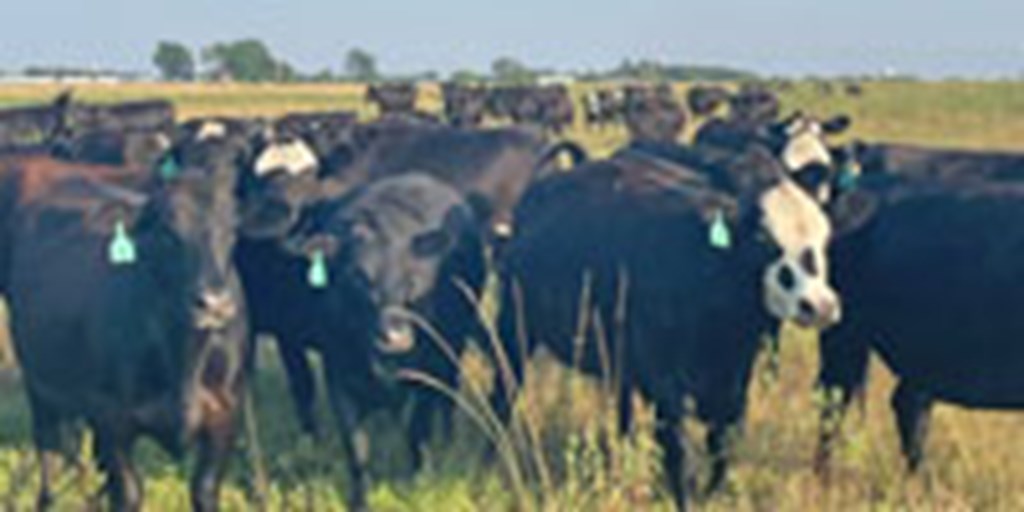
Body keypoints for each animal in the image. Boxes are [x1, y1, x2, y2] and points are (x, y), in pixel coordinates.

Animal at [7, 132, 253, 511]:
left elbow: (205, 490)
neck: (184, 357)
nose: (214, 304)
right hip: (38, 380)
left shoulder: (225, 417)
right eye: (168, 232)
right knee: (49, 446)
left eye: (233, 231)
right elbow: (128, 492)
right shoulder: (112, 419)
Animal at [236, 173, 486, 511]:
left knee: (448, 395)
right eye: (357, 276)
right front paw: (360, 499)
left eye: (412, 279)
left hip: (454, 347)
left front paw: (419, 483)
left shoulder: (425, 373)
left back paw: (448, 441)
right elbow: (357, 449)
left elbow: (417, 433)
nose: (395, 338)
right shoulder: (339, 378)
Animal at [489, 144, 841, 509]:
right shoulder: (665, 386)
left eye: (823, 235)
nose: (820, 305)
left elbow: (722, 447)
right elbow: (679, 454)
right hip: (513, 327)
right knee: (503, 392)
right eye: (762, 238)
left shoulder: (735, 381)